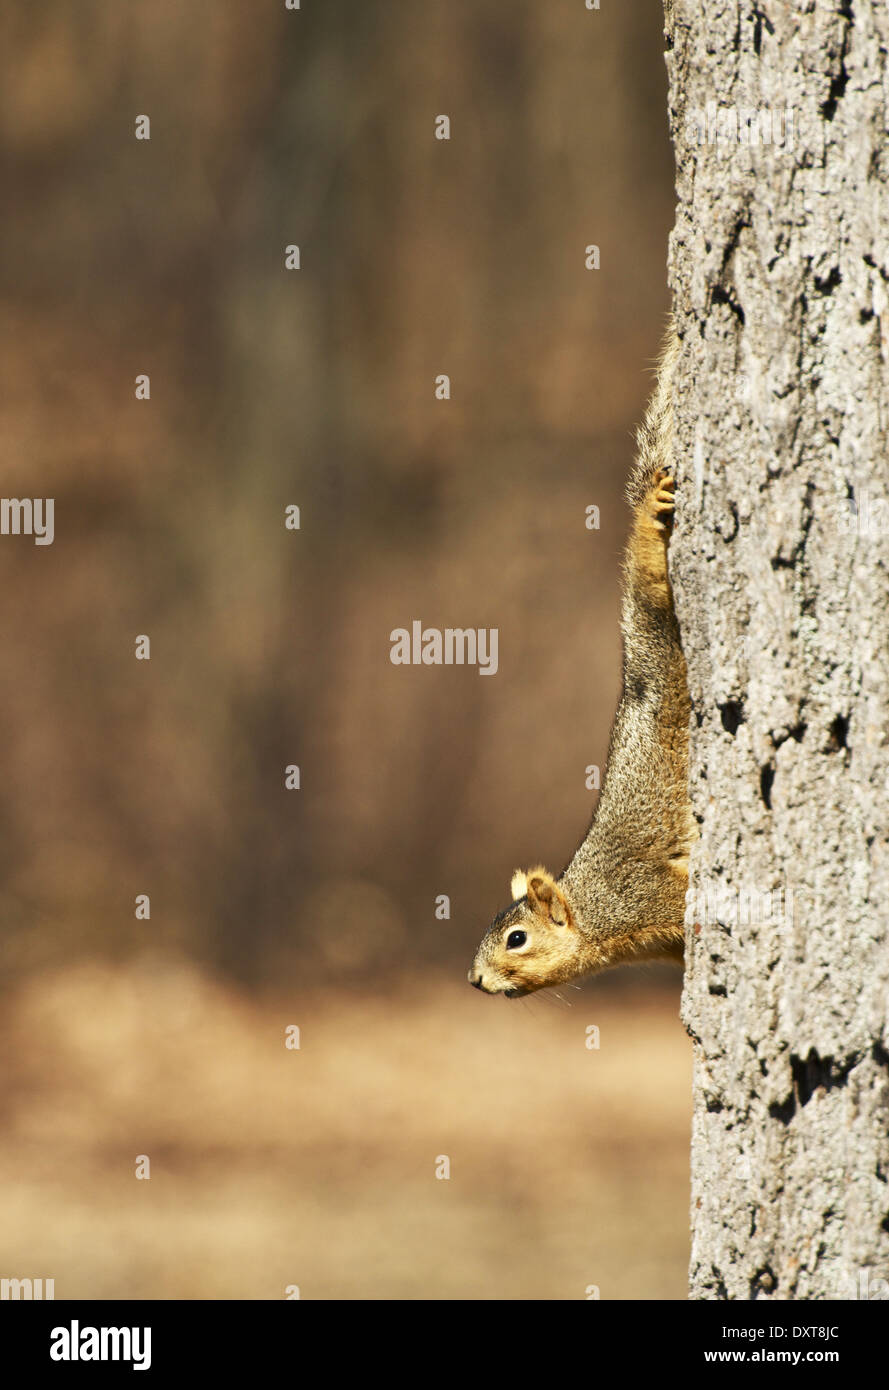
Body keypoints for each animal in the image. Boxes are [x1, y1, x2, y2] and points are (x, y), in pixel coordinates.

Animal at [468, 330, 695, 997]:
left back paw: (650, 509)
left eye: (517, 939)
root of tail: (633, 647)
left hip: (657, 617)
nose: (475, 981)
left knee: (645, 571)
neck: (595, 915)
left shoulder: (646, 897)